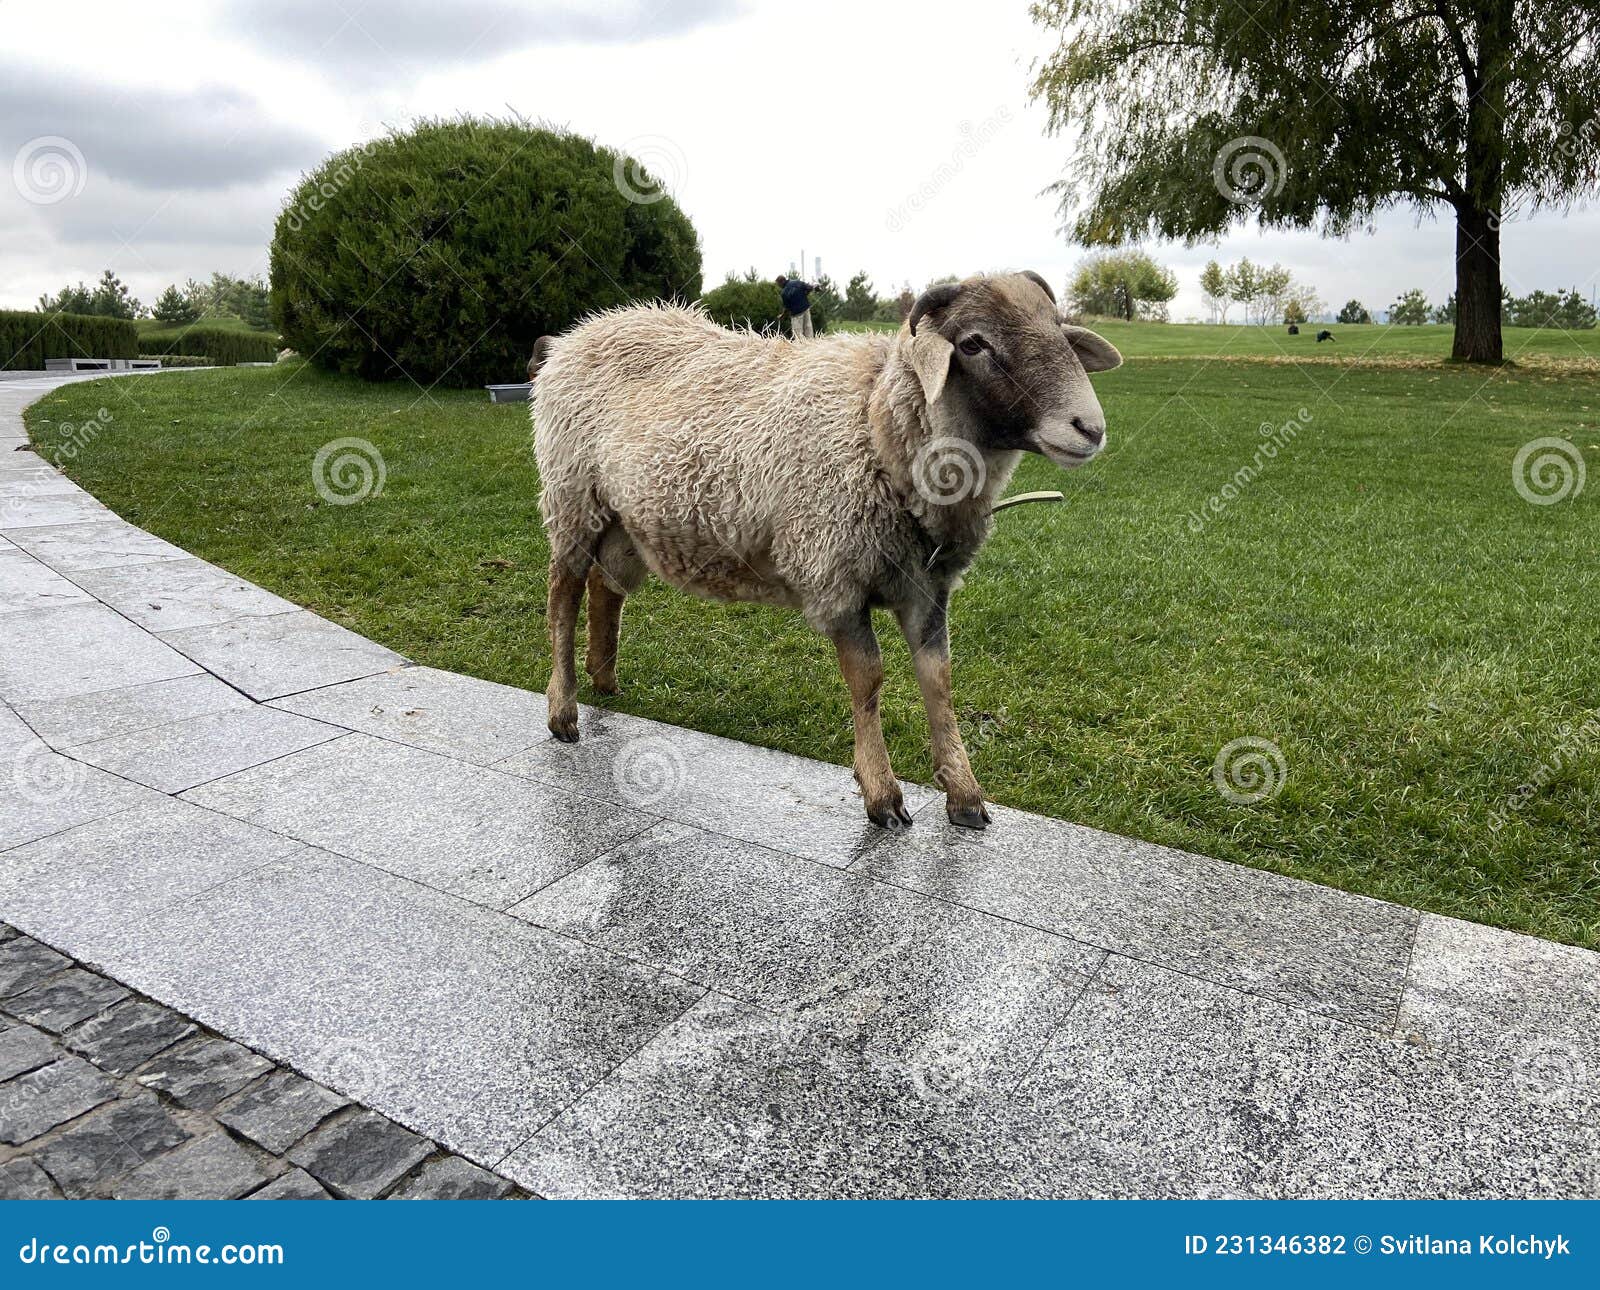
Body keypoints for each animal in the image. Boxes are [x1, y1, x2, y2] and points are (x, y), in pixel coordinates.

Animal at [529, 272, 1122, 830]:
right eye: (975, 343)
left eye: (1059, 329)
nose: (1090, 429)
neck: (875, 427)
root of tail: (581, 332)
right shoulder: (837, 578)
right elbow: (869, 678)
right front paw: (882, 794)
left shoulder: (928, 586)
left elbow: (939, 679)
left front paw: (964, 794)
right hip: (572, 497)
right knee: (563, 594)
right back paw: (564, 710)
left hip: (626, 523)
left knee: (606, 588)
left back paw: (604, 681)